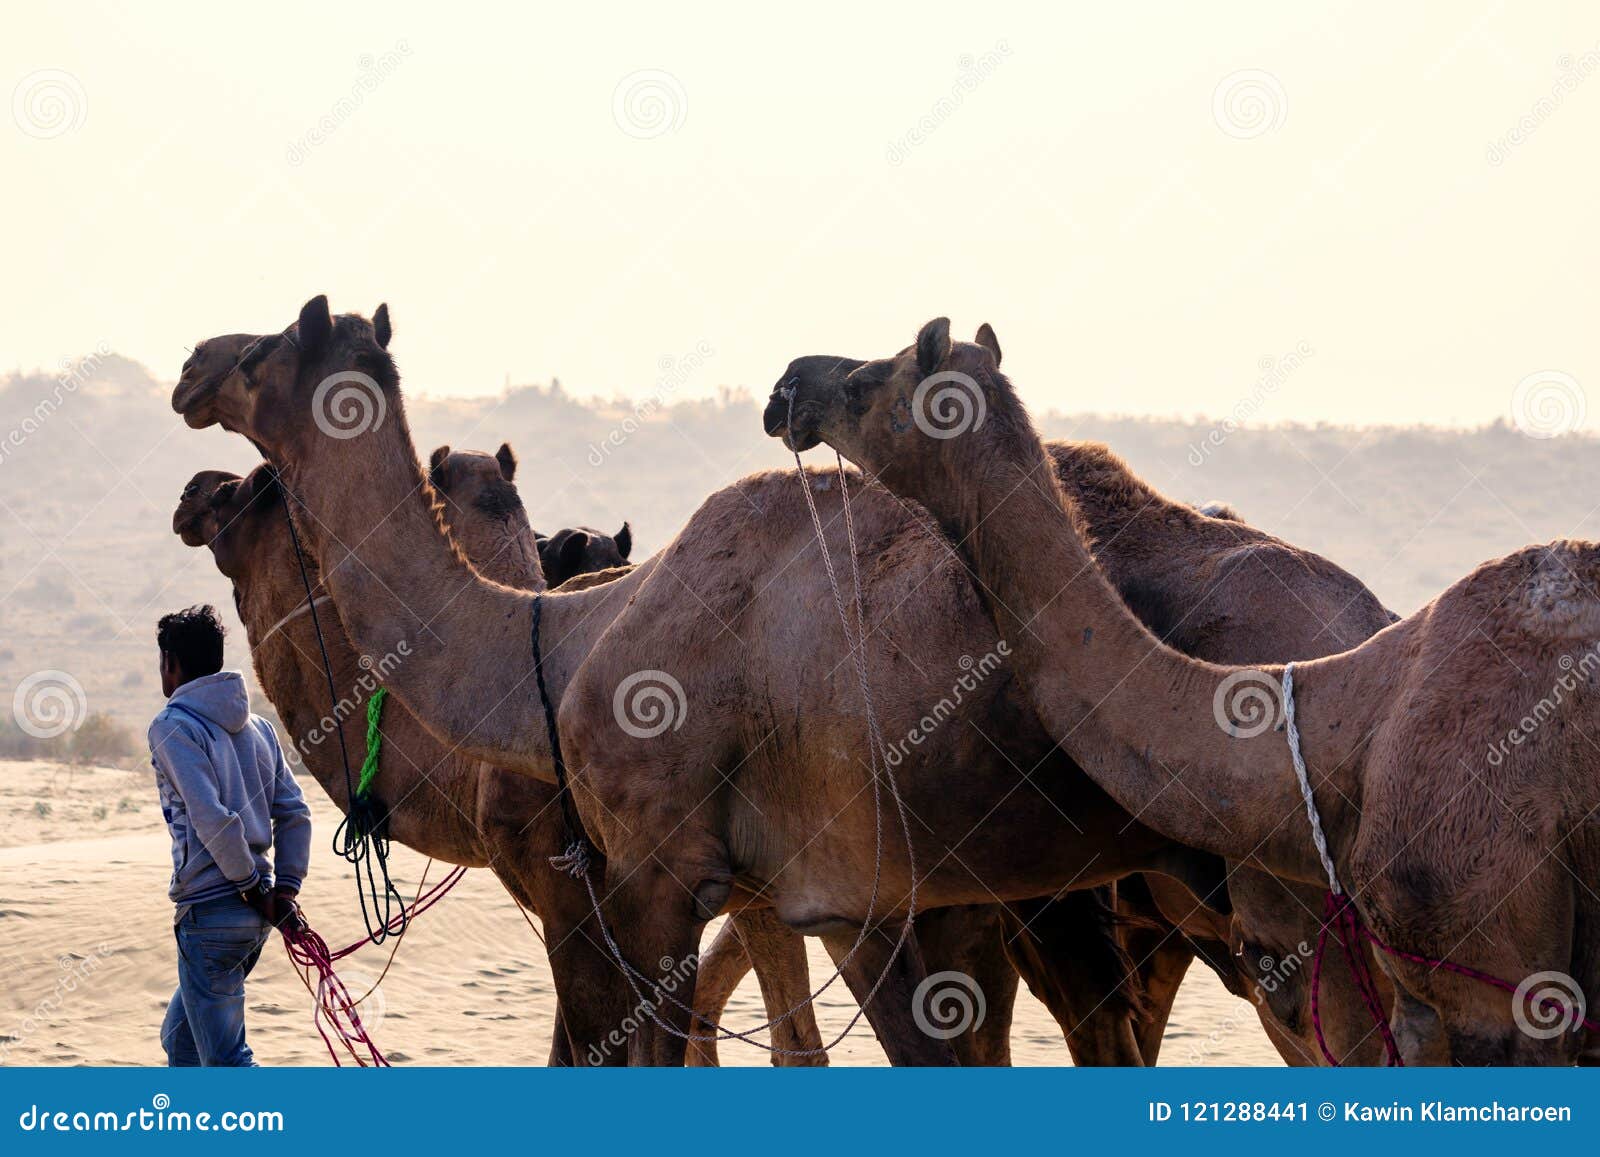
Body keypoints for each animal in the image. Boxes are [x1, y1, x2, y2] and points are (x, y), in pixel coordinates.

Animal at [171, 299, 1409, 1066]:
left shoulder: (647, 878)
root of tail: (1370, 630)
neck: (555, 645)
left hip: (1271, 903)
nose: (189, 365)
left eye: (264, 350)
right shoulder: (812, 890)